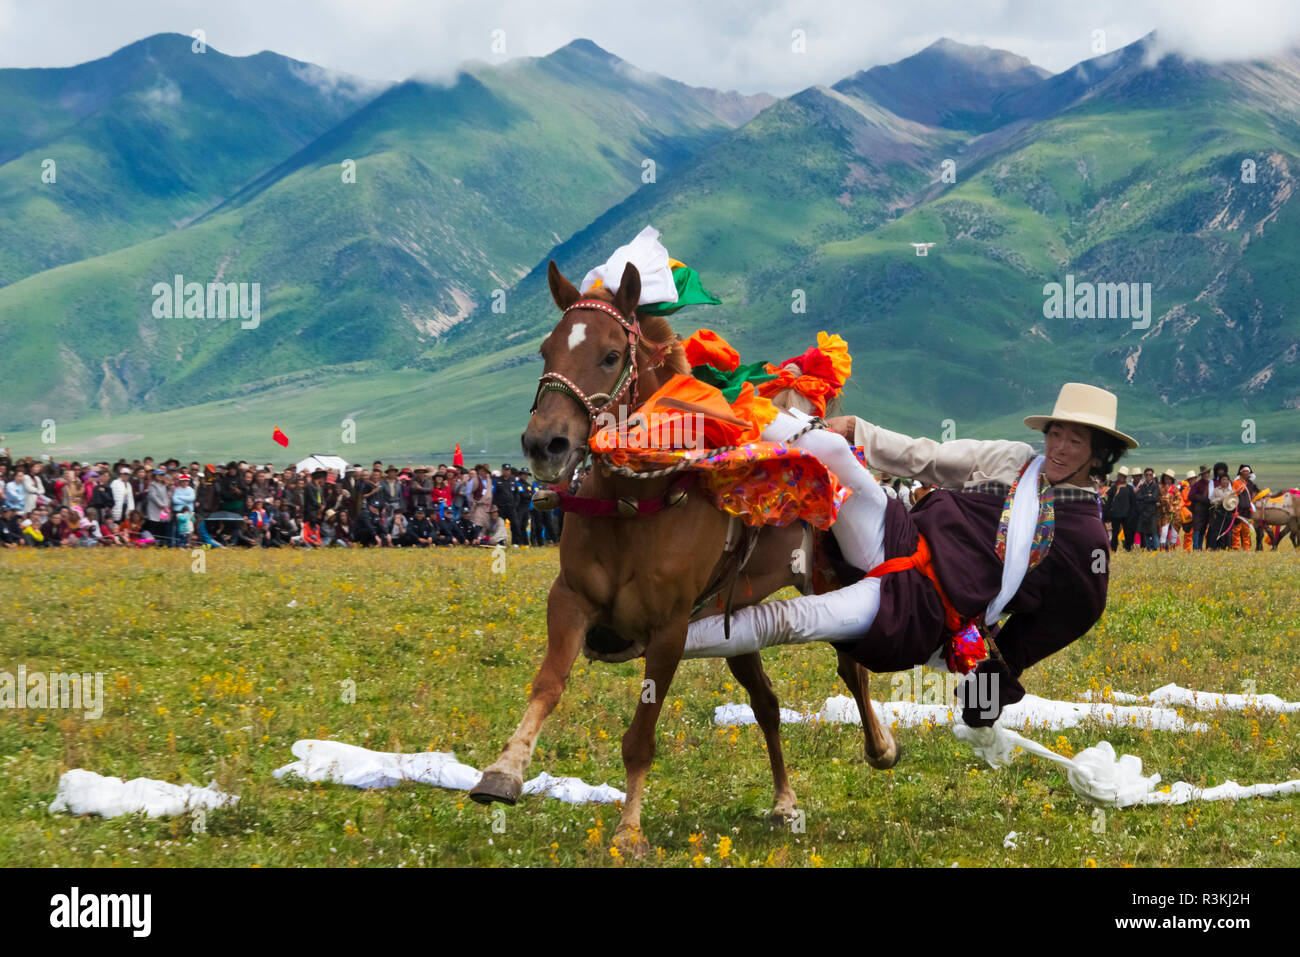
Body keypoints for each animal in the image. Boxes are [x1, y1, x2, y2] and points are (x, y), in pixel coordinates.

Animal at [468, 259, 898, 855]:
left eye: (610, 355)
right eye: (545, 350)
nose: (544, 445)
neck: (633, 504)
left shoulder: (668, 630)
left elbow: (641, 737)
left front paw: (628, 831)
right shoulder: (571, 601)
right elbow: (548, 685)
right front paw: (504, 772)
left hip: (827, 584)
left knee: (851, 668)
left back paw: (880, 748)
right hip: (739, 617)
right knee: (767, 703)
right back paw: (784, 803)